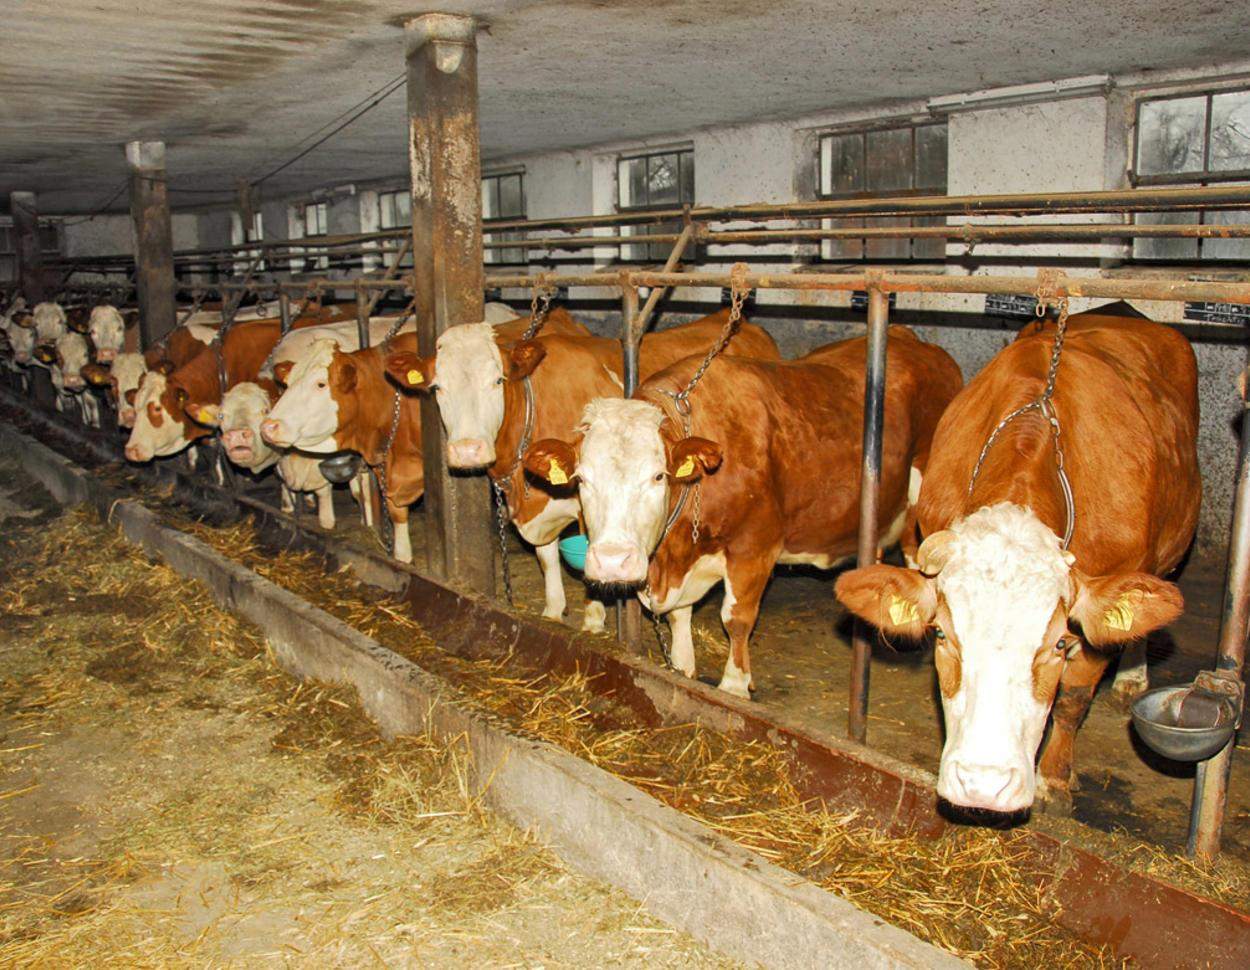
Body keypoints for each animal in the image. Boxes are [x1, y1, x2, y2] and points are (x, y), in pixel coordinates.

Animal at [381, 309, 781, 628]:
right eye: (437, 387)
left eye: (497, 380)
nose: (467, 450)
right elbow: (546, 557)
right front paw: (553, 608)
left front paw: (592, 619)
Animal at [523, 327, 961, 689]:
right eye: (582, 479)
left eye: (658, 476)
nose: (614, 561)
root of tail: (923, 347)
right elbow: (681, 614)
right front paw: (682, 665)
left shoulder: (755, 546)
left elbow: (735, 618)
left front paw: (734, 686)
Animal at [832, 305, 1200, 818]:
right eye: (941, 634)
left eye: (1061, 643)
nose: (983, 784)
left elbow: (1074, 696)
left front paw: (1056, 778)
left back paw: (1131, 677)